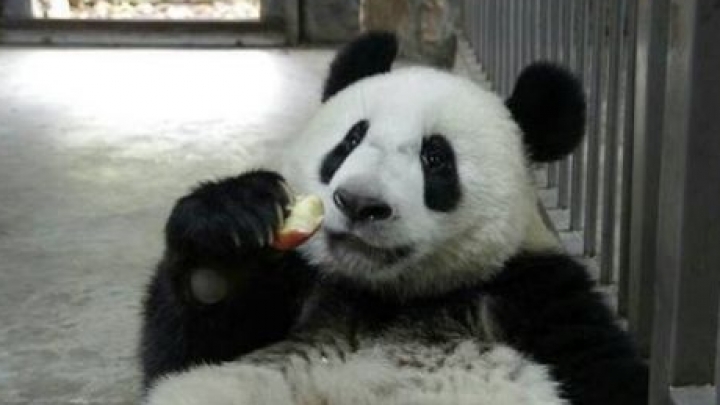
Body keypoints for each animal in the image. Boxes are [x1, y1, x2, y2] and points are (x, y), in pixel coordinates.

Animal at [139, 32, 648, 405]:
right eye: (349, 141)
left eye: (436, 158)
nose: (358, 202)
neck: (387, 296)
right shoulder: (300, 286)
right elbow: (184, 352)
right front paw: (231, 222)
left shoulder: (535, 295)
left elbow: (604, 370)